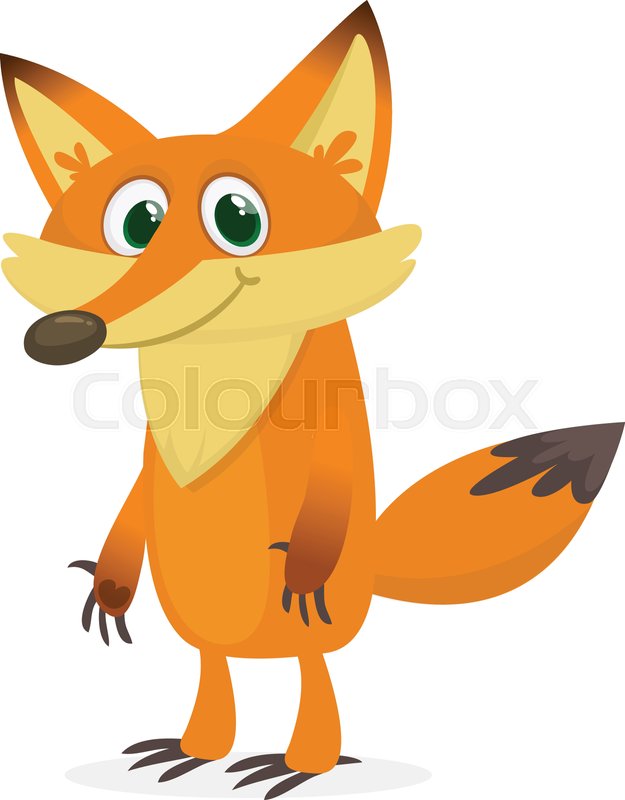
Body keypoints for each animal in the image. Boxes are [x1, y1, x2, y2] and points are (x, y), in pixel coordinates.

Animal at [1, 3, 623, 798]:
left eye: (237, 219)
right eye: (136, 225)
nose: (59, 335)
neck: (213, 384)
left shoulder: (325, 444)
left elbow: (327, 500)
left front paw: (302, 567)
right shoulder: (149, 460)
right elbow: (133, 505)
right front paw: (110, 587)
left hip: (315, 630)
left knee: (312, 672)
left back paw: (297, 764)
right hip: (198, 627)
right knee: (212, 668)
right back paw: (193, 750)